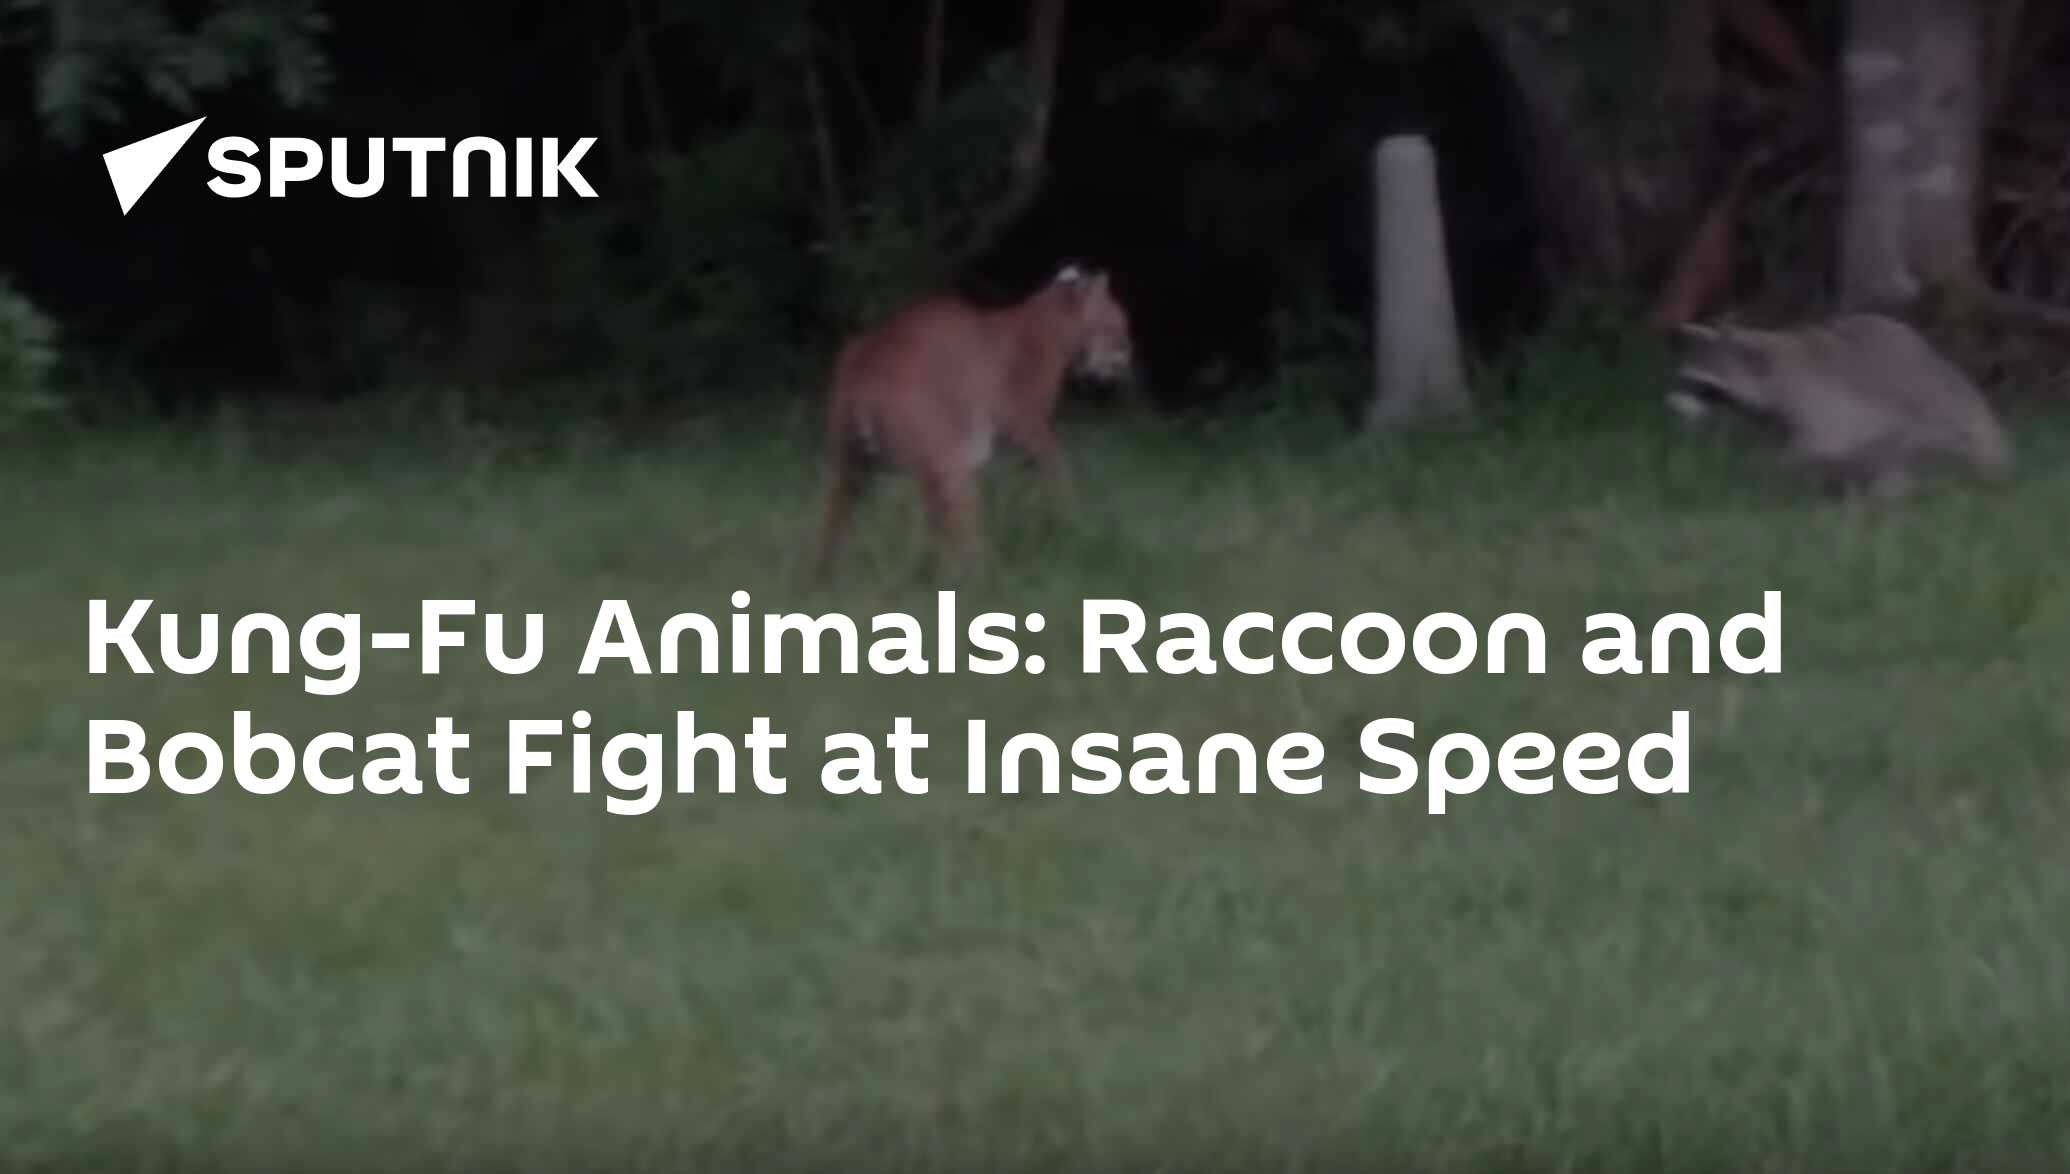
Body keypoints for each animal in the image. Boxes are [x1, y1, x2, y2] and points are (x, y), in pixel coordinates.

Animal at [1668, 313, 2014, 499]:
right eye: (1685, 379)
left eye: (1705, 387)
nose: (1672, 408)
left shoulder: (1818, 400)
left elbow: (1821, 445)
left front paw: (1766, 469)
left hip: (1946, 443)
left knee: (1898, 452)